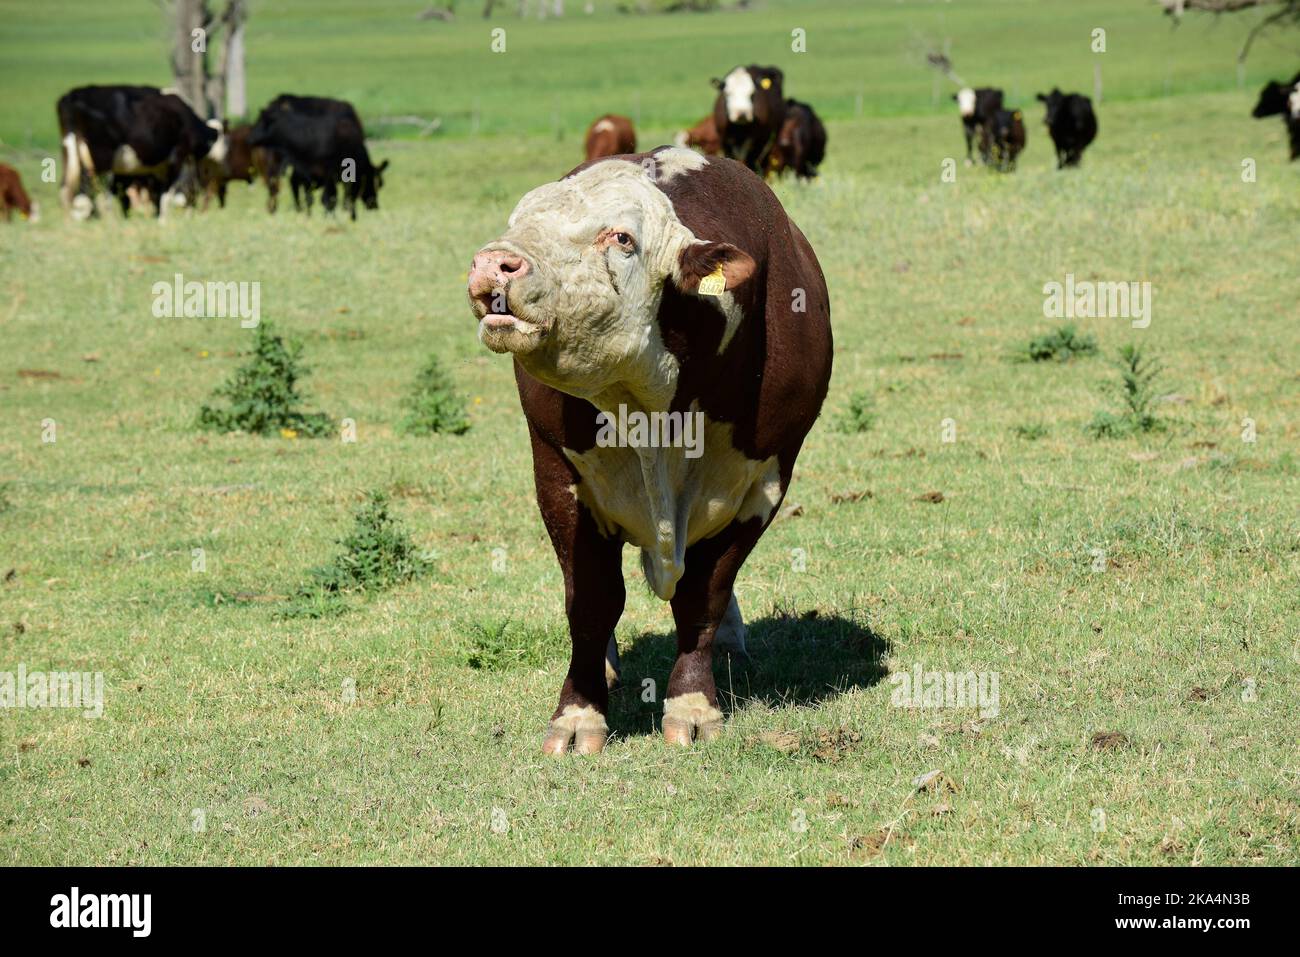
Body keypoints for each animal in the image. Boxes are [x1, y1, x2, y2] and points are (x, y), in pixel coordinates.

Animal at [56, 85, 221, 219]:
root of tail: (73, 96)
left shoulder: (158, 169)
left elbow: (157, 194)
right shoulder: (176, 155)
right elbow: (166, 193)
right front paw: (163, 221)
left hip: (70, 151)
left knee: (67, 189)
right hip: (100, 156)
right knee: (94, 190)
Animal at [465, 147, 832, 754]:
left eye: (622, 238)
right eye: (521, 222)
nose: (494, 263)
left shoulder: (759, 486)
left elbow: (703, 598)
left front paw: (693, 704)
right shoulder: (559, 477)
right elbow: (591, 603)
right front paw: (580, 712)